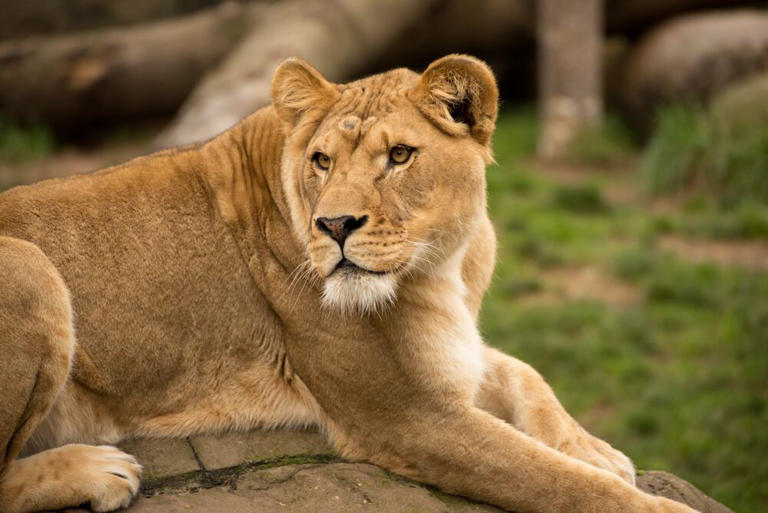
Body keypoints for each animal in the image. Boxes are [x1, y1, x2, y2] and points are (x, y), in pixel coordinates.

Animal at [0, 55, 697, 513]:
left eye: (400, 156)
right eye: (322, 161)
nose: (334, 224)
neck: (443, 264)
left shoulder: (456, 351)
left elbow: (530, 377)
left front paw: (595, 448)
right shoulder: (409, 419)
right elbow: (559, 482)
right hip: (30, 267)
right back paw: (101, 470)